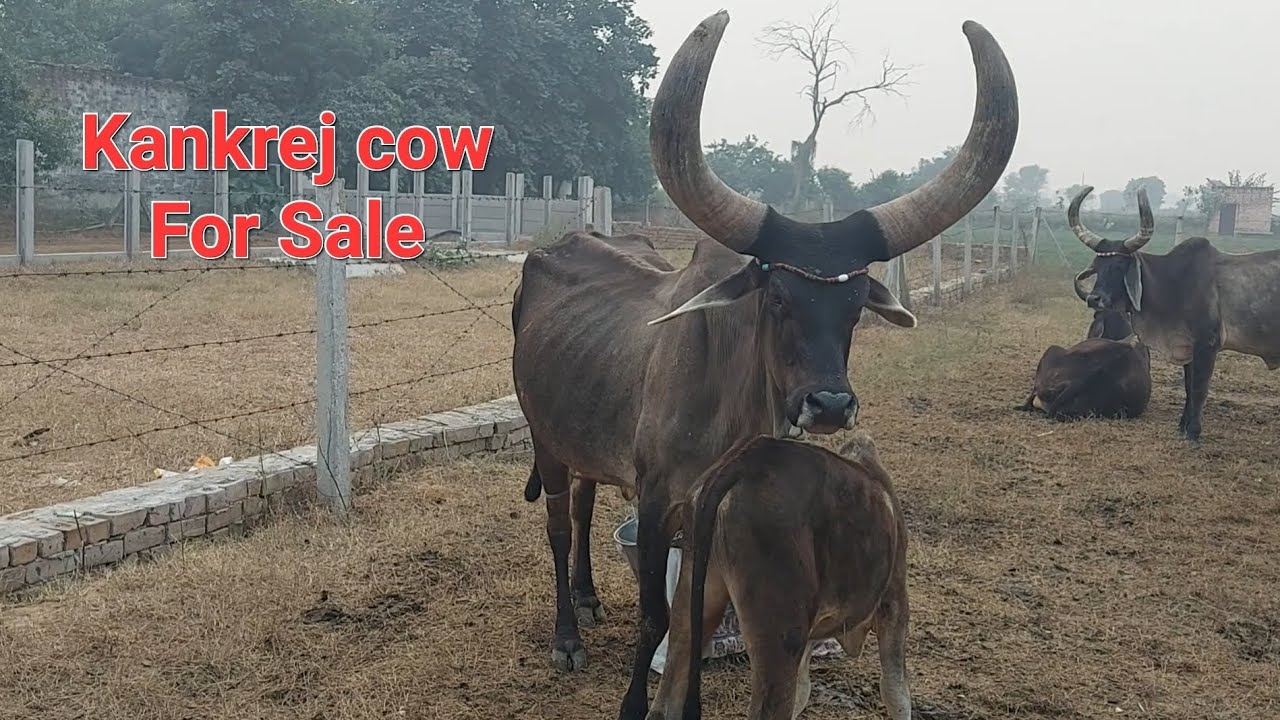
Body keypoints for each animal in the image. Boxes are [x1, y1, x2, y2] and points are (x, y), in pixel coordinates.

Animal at [648, 431, 909, 720]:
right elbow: (896, 693)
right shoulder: (894, 603)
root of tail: (748, 461)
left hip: (691, 603)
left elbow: (802, 691)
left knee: (664, 702)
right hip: (782, 638)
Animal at [1067, 185, 1280, 441]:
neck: (1172, 282)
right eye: (1098, 267)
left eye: (1118, 267)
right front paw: (1182, 426)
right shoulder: (1187, 344)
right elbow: (1189, 386)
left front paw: (1194, 432)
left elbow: (1199, 389)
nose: (1093, 298)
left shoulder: (1207, 344)